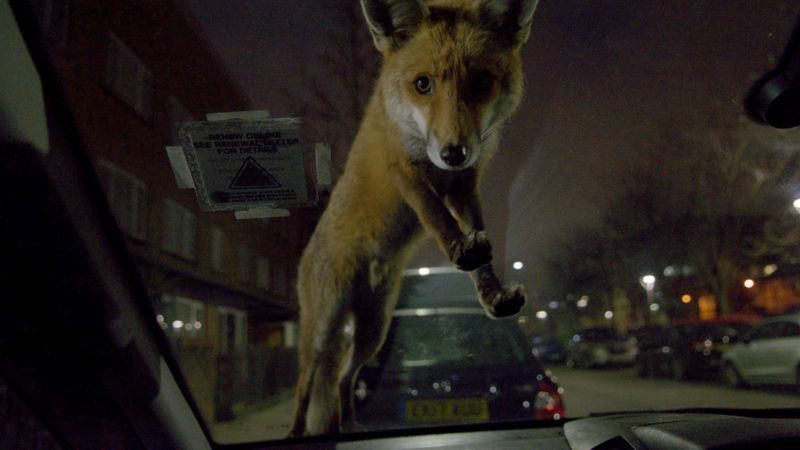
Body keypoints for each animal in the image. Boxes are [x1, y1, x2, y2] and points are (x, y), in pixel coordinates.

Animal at [289, 0, 539, 437]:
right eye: (423, 84)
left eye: (481, 81)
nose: (454, 152)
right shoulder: (406, 173)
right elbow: (438, 219)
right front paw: (460, 250)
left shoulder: (464, 185)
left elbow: (479, 241)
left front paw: (491, 294)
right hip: (323, 327)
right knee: (306, 384)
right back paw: (297, 434)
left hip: (373, 330)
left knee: (343, 378)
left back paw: (351, 427)